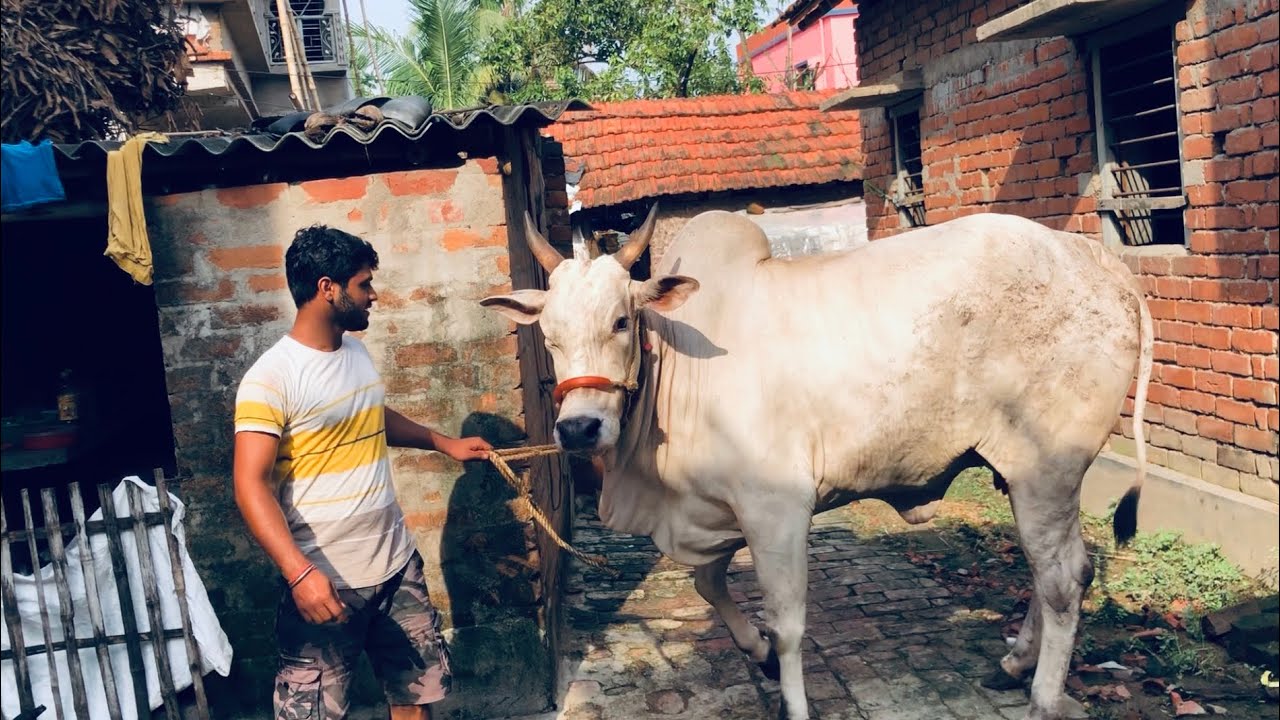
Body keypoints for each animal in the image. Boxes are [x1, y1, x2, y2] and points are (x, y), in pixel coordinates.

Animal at [481, 208, 1152, 720]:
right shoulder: (714, 509)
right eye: (549, 333)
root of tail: (1095, 259)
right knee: (1057, 570)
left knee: (1062, 578)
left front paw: (788, 692)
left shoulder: (775, 507)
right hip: (1022, 476)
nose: (578, 428)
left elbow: (787, 622)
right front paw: (755, 654)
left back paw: (1042, 696)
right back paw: (1014, 663)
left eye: (621, 321)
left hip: (1047, 469)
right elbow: (708, 583)